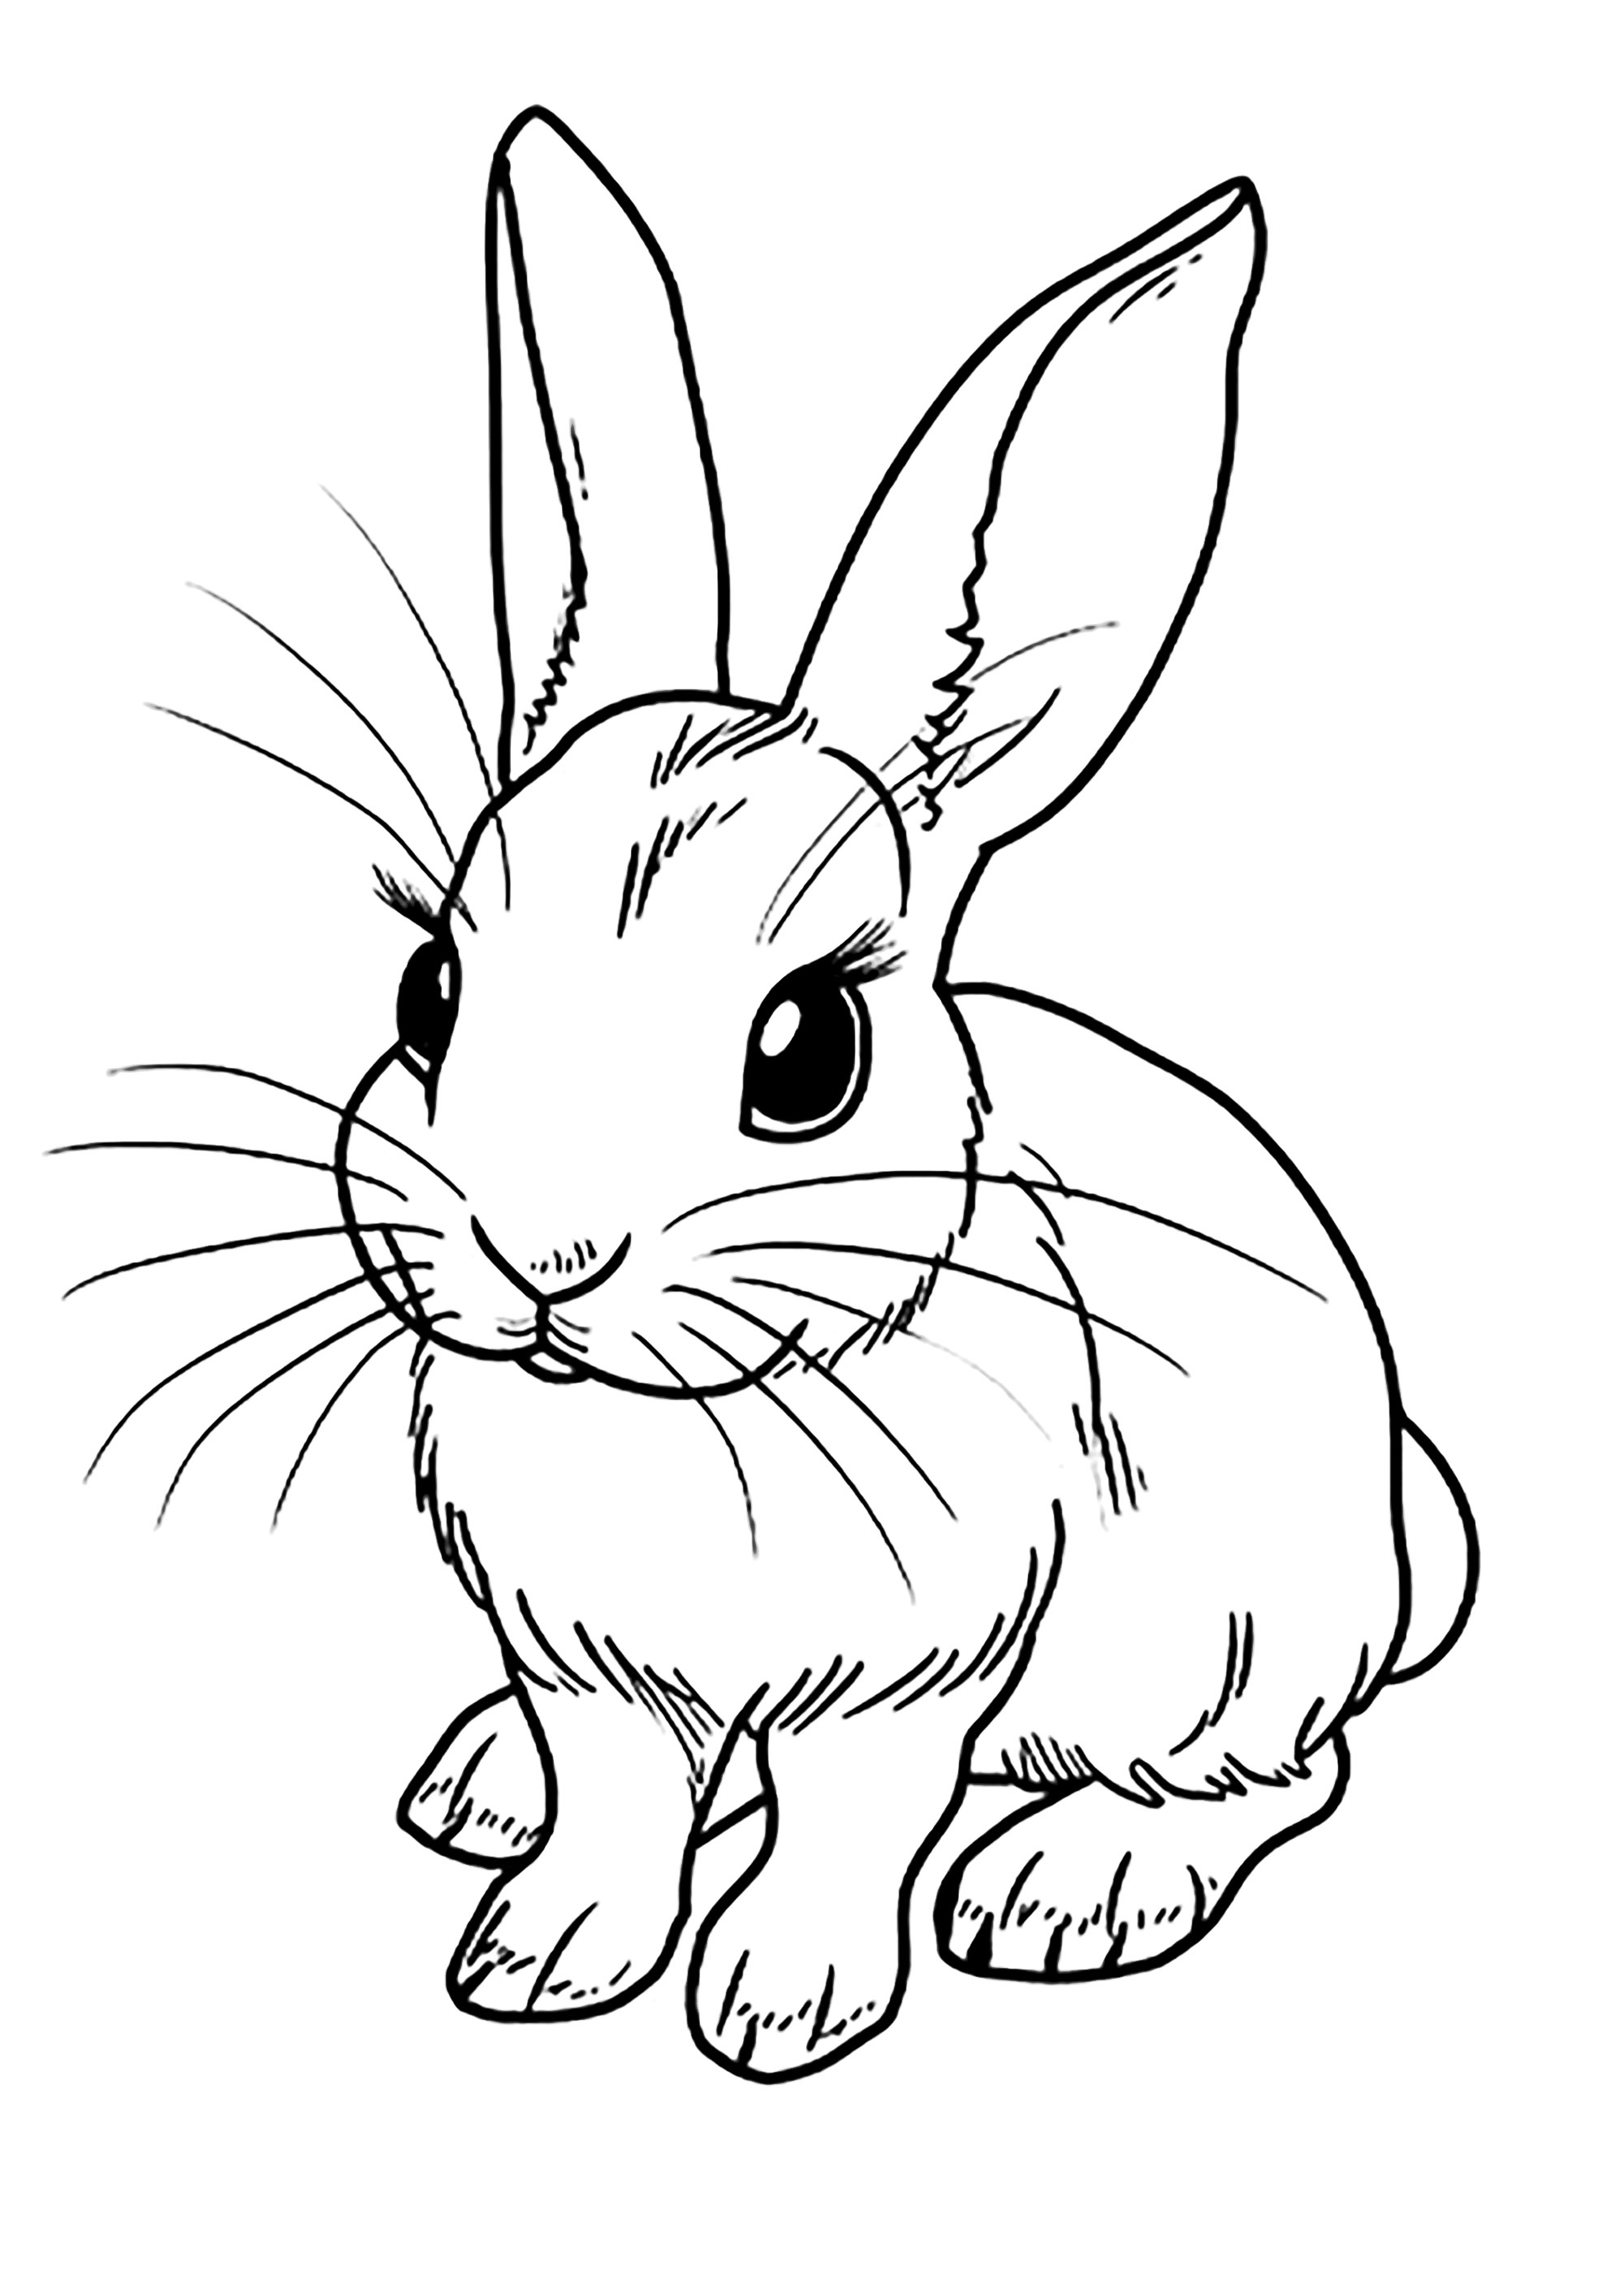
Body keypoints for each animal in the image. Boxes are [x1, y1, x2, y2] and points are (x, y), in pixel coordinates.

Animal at [325, 109, 1476, 2082]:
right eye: (431, 994)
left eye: (806, 1053)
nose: (537, 1257)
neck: (676, 1413)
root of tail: (1405, 1546)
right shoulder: (583, 1663)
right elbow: (618, 1800)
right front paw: (541, 1956)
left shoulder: (914, 1669)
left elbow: (844, 1822)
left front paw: (775, 2004)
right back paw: (479, 1780)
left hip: (1224, 1648)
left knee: (1274, 1780)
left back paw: (1072, 1886)